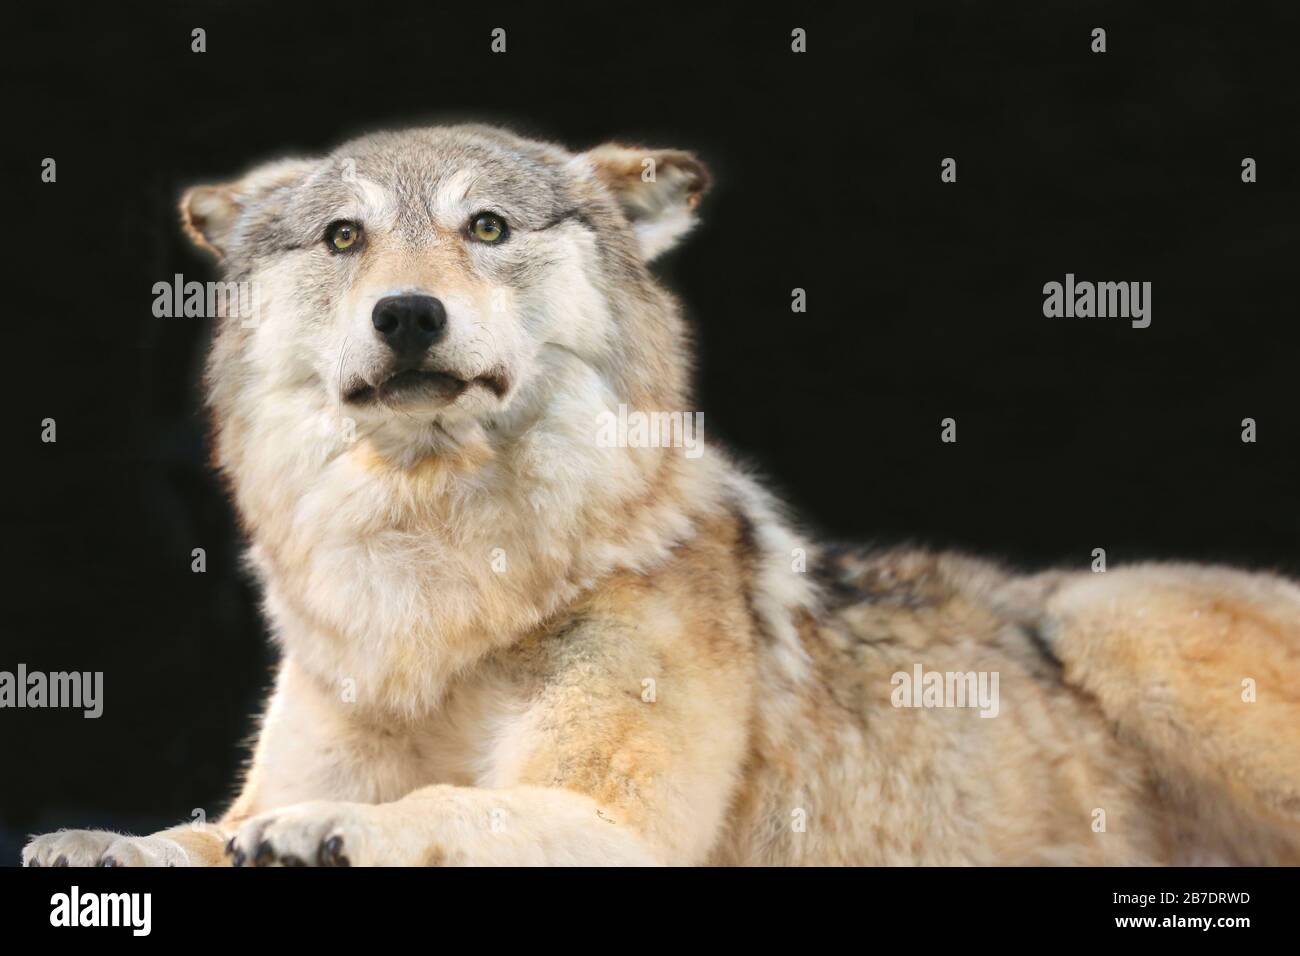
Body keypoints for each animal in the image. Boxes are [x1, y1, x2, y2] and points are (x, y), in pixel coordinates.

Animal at [23, 125, 1300, 866]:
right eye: (344, 237)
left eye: (485, 225)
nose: (408, 314)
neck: (439, 569)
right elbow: (204, 826)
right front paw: (116, 842)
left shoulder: (616, 822)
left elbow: (445, 807)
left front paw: (331, 830)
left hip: (1118, 624)